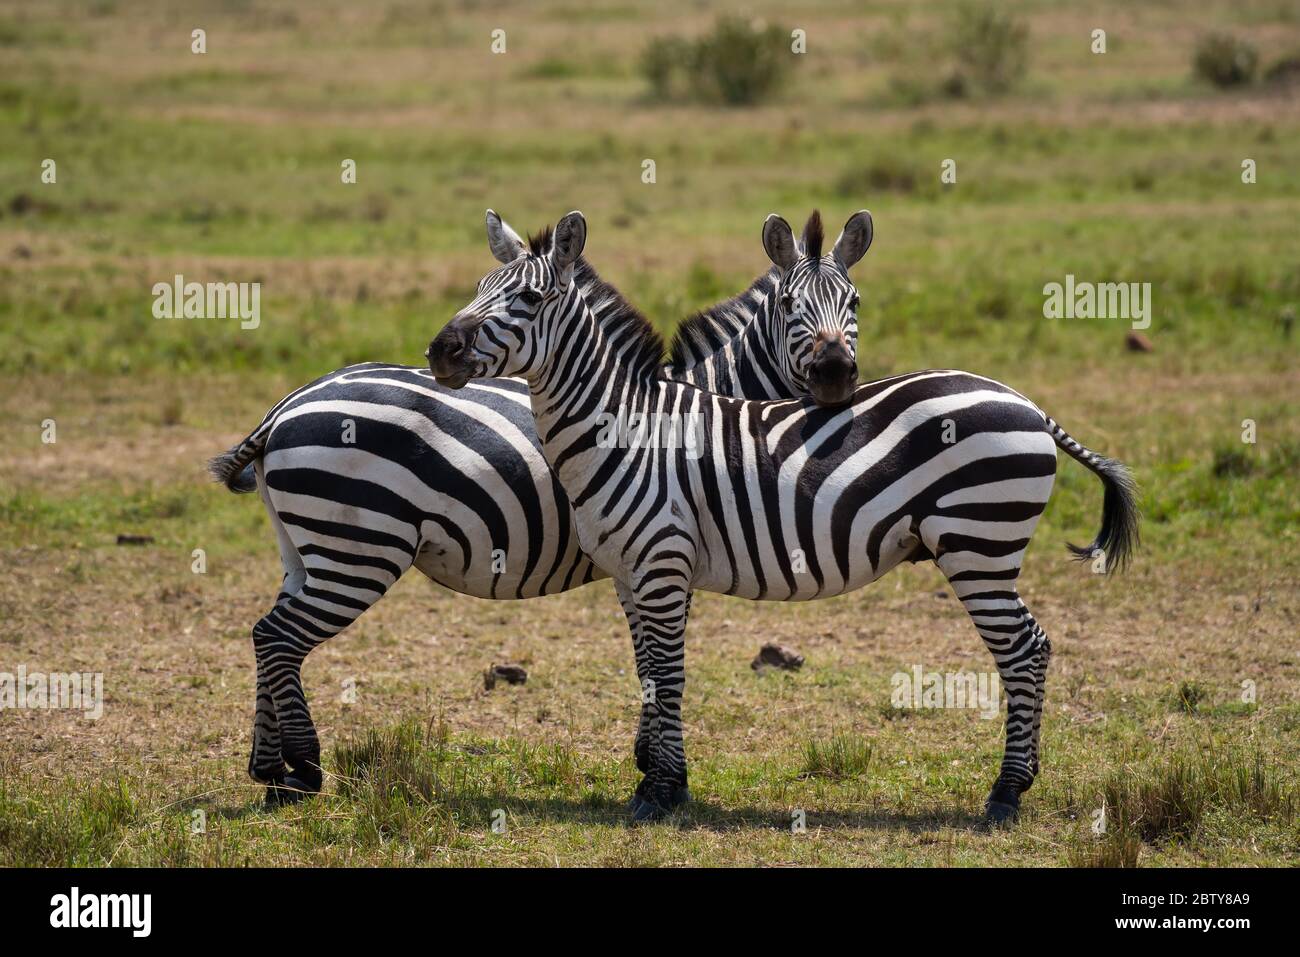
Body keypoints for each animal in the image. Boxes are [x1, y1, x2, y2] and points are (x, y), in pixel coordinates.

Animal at [210, 208, 874, 804]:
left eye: (856, 303)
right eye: (789, 307)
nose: (835, 374)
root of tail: (284, 407)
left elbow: (647, 658)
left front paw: (645, 763)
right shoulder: (664, 547)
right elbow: (659, 660)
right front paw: (658, 772)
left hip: (305, 549)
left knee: (266, 634)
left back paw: (270, 770)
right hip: (358, 549)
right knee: (281, 637)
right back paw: (302, 767)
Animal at [427, 210, 1139, 825]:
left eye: (529, 299)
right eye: (479, 289)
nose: (439, 350)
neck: (625, 427)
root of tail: (1026, 402)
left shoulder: (662, 564)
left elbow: (669, 674)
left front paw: (663, 791)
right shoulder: (631, 573)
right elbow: (649, 674)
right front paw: (655, 780)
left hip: (979, 544)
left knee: (1024, 649)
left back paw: (1007, 793)